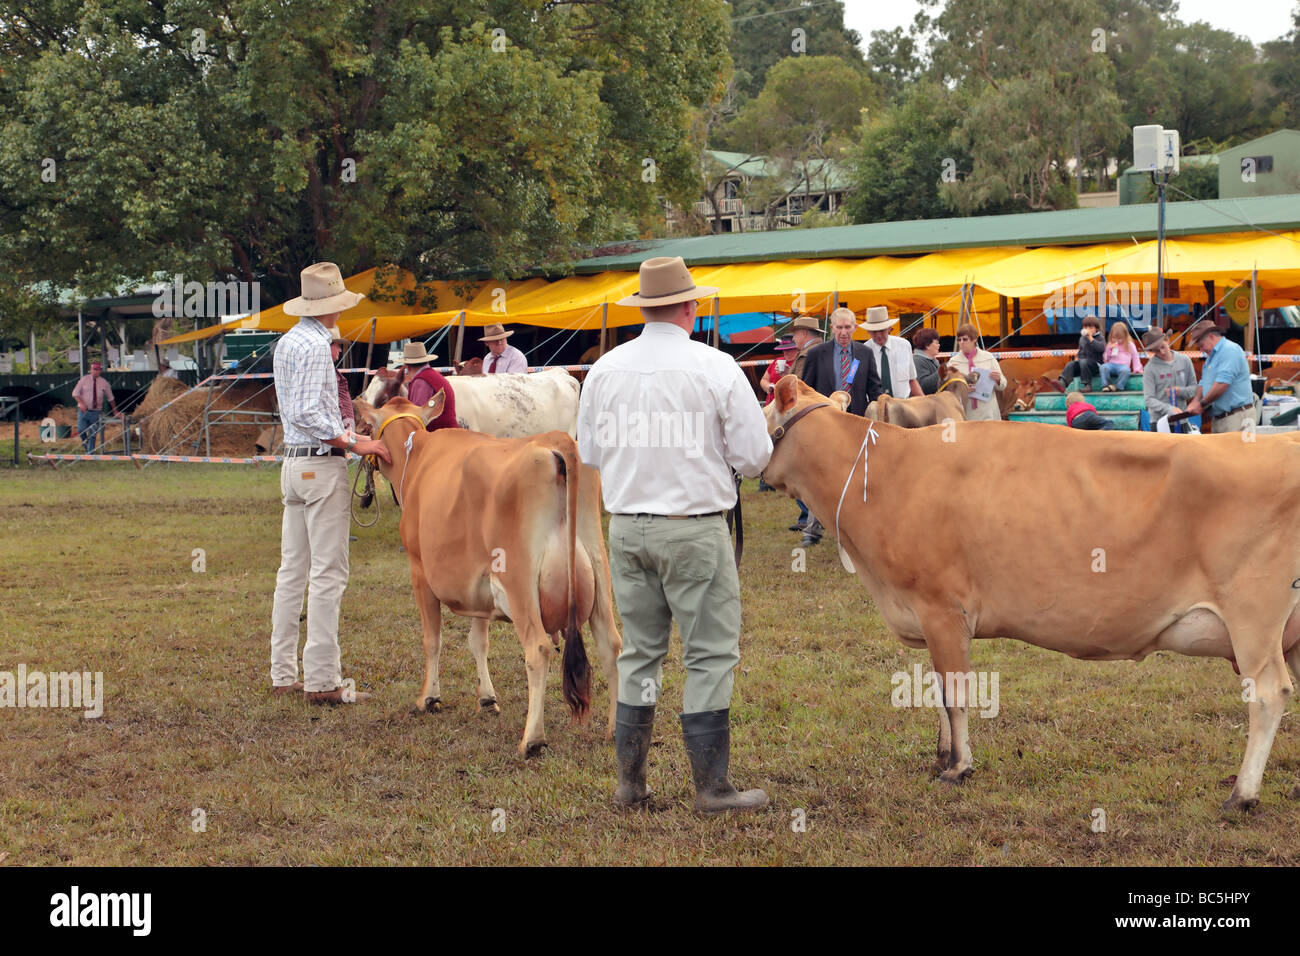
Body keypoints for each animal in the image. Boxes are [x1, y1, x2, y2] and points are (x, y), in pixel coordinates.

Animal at [355, 392, 621, 757]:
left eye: (367, 426)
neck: (418, 455)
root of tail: (557, 440)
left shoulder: (419, 570)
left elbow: (432, 639)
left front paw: (429, 698)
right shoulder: (478, 586)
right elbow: (478, 641)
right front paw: (486, 698)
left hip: (519, 582)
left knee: (538, 649)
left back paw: (532, 740)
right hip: (598, 568)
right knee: (611, 642)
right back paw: (614, 731)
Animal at [763, 374, 1300, 812]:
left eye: (764, 411)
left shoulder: (941, 608)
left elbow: (954, 692)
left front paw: (958, 768)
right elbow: (938, 691)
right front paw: (941, 757)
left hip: (1253, 615)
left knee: (1269, 692)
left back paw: (1242, 794)